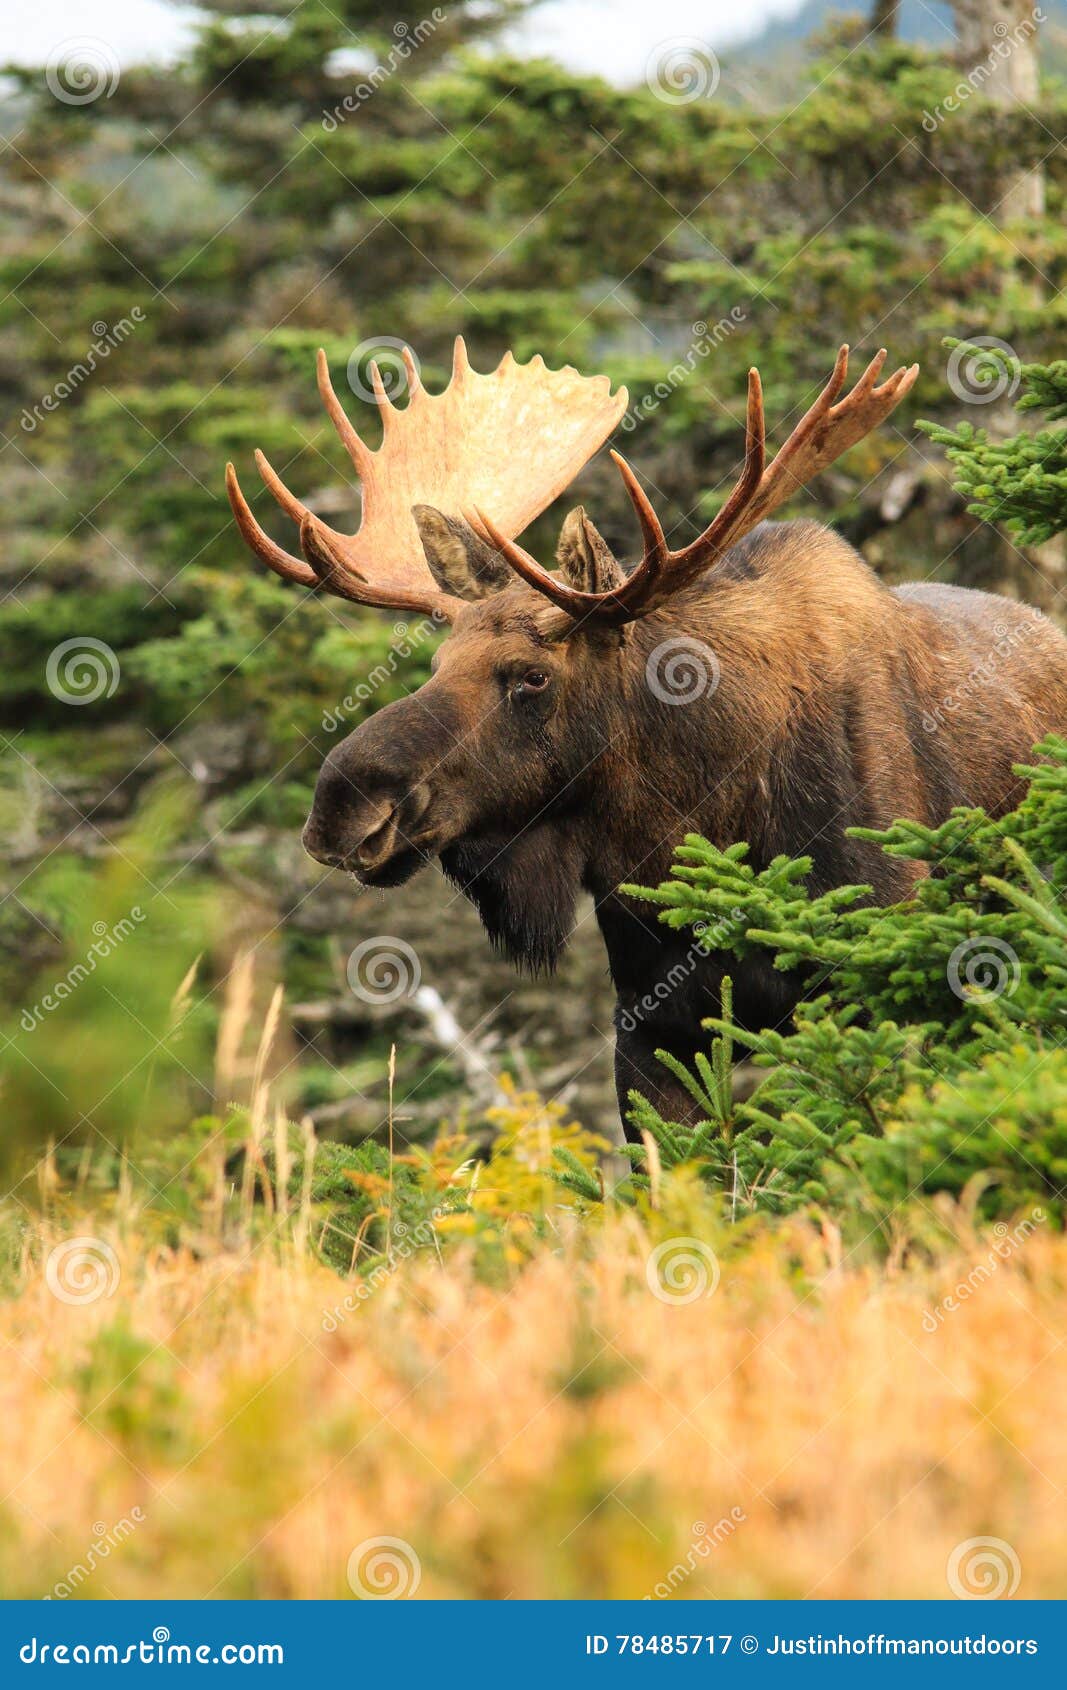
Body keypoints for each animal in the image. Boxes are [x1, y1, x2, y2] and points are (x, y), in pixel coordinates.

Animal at [226, 340, 1067, 1135]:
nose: (339, 806)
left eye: (531, 677)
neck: (706, 823)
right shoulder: (650, 1022)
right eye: (435, 663)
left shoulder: (875, 978)